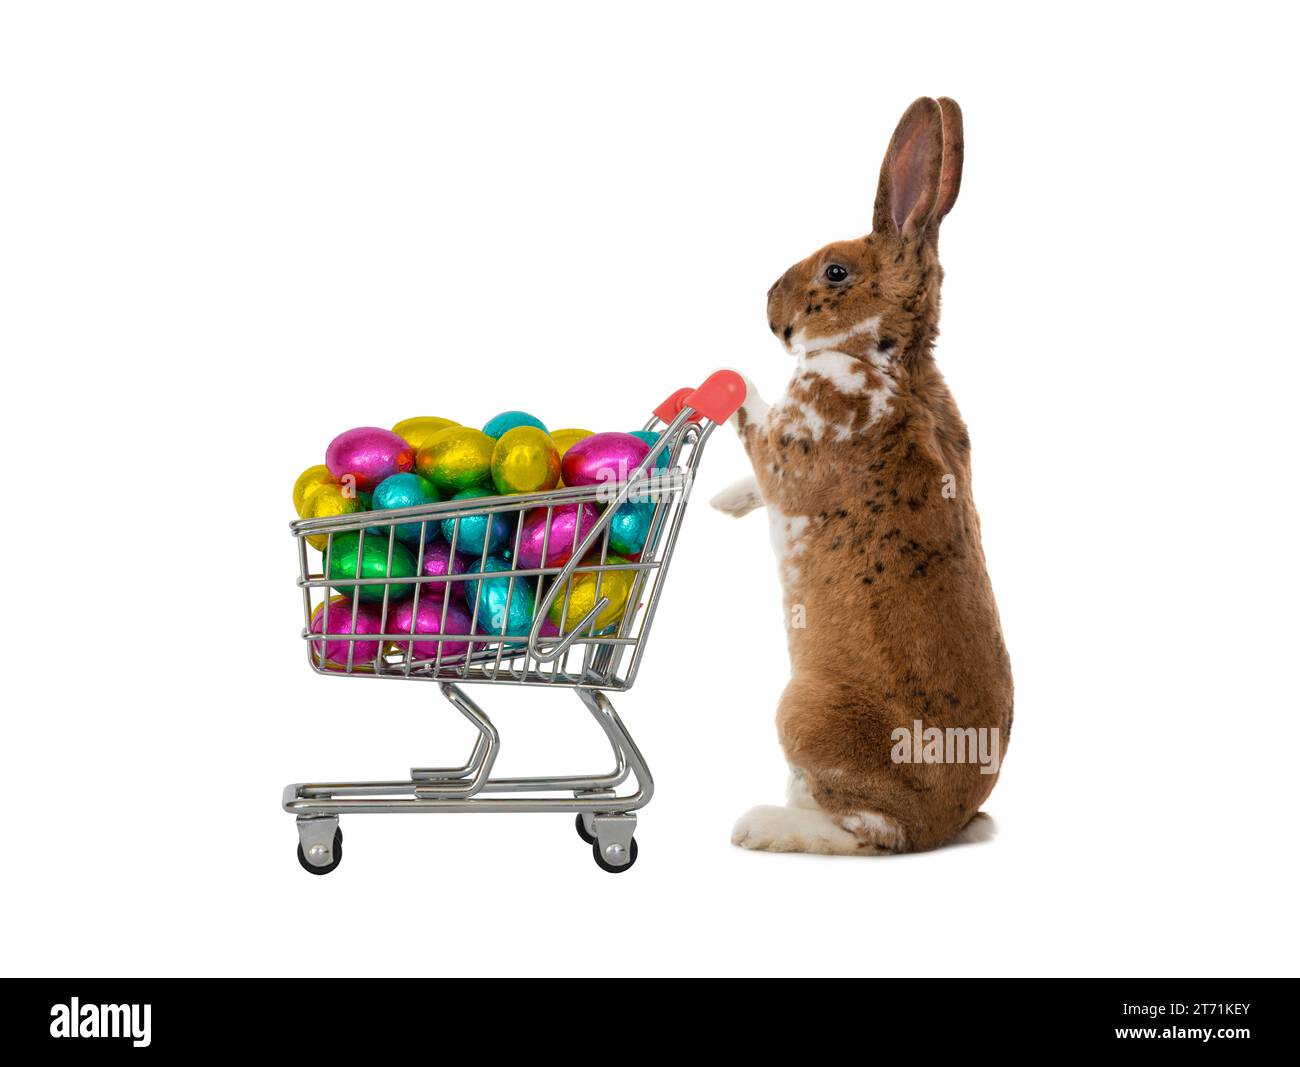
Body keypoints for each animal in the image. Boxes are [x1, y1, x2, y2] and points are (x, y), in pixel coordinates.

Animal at [712, 97, 1012, 854]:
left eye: (835, 272)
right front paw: (723, 502)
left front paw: (726, 382)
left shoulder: (793, 439)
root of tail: (941, 826)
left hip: (805, 712)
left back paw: (758, 826)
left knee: (867, 832)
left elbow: (754, 412)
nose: (770, 307)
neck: (885, 357)